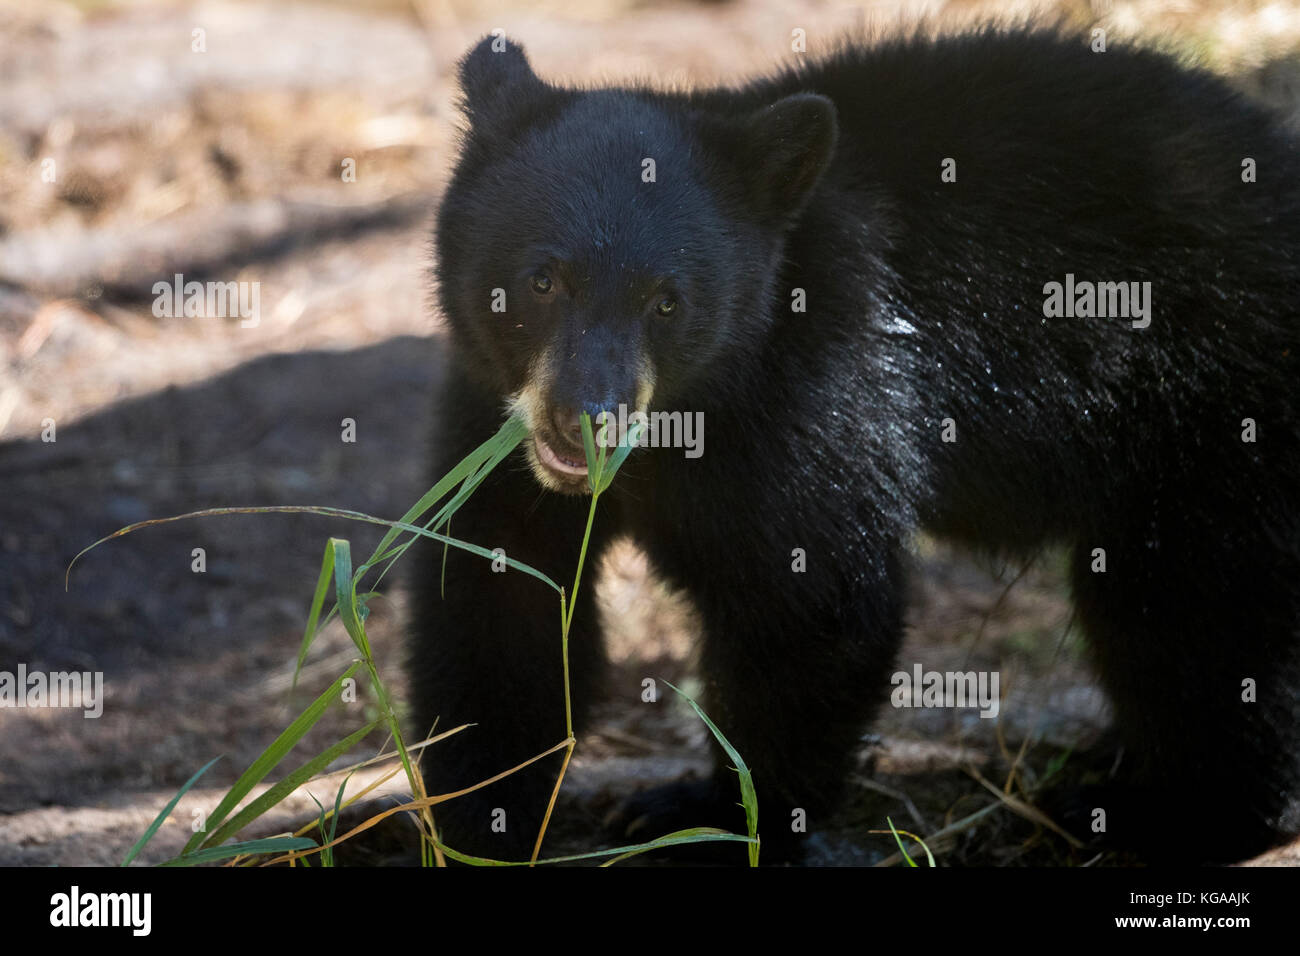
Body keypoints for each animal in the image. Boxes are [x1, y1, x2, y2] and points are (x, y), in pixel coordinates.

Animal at [407, 26, 1300, 864]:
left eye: (667, 302)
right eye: (542, 280)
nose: (587, 420)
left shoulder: (818, 385)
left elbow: (811, 600)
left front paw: (715, 817)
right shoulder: (493, 417)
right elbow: (497, 593)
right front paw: (476, 820)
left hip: (1212, 403)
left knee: (1193, 611)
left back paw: (1169, 812)